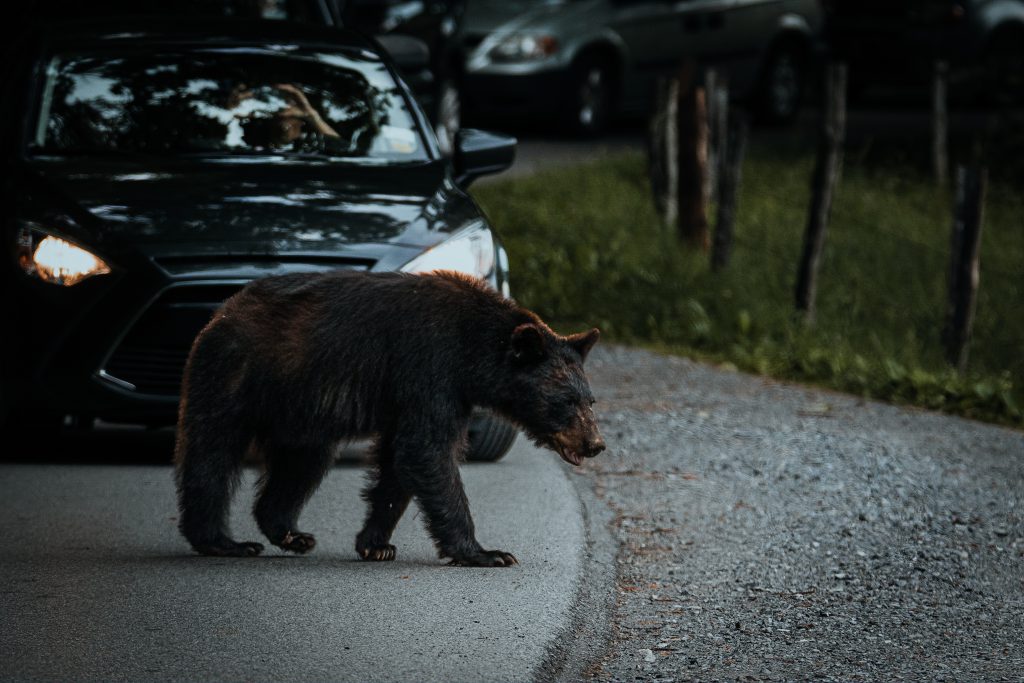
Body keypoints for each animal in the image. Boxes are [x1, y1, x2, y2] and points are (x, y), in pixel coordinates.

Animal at [174, 269, 605, 567]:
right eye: (565, 401)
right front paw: (487, 553)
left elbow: (400, 462)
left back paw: (288, 532)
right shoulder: (429, 369)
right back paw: (222, 541)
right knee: (212, 452)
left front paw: (375, 543)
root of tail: (226, 309)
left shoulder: (416, 393)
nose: (596, 444)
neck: (473, 353)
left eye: (590, 401)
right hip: (236, 374)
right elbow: (427, 450)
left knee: (302, 463)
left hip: (300, 408)